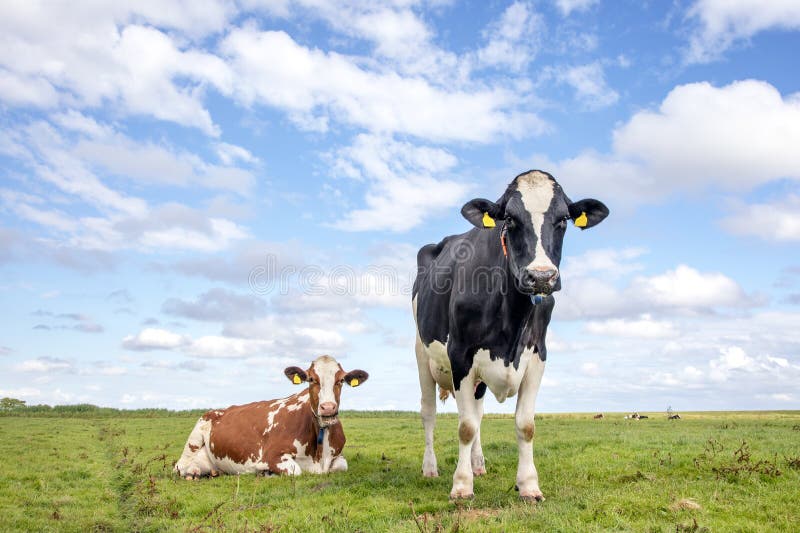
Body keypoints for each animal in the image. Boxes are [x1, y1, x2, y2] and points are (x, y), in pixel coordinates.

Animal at [173, 355, 368, 479]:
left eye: (341, 380)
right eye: (312, 379)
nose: (328, 408)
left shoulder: (338, 456)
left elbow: (342, 466)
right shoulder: (272, 455)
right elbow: (295, 470)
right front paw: (265, 472)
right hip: (195, 436)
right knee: (179, 466)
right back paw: (191, 472)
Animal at [413, 169, 608, 501]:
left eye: (563, 220)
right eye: (510, 219)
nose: (541, 277)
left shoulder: (538, 354)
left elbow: (524, 424)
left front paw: (528, 485)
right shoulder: (460, 355)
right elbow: (465, 426)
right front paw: (461, 486)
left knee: (477, 412)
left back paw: (478, 464)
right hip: (422, 353)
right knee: (429, 413)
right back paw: (429, 468)